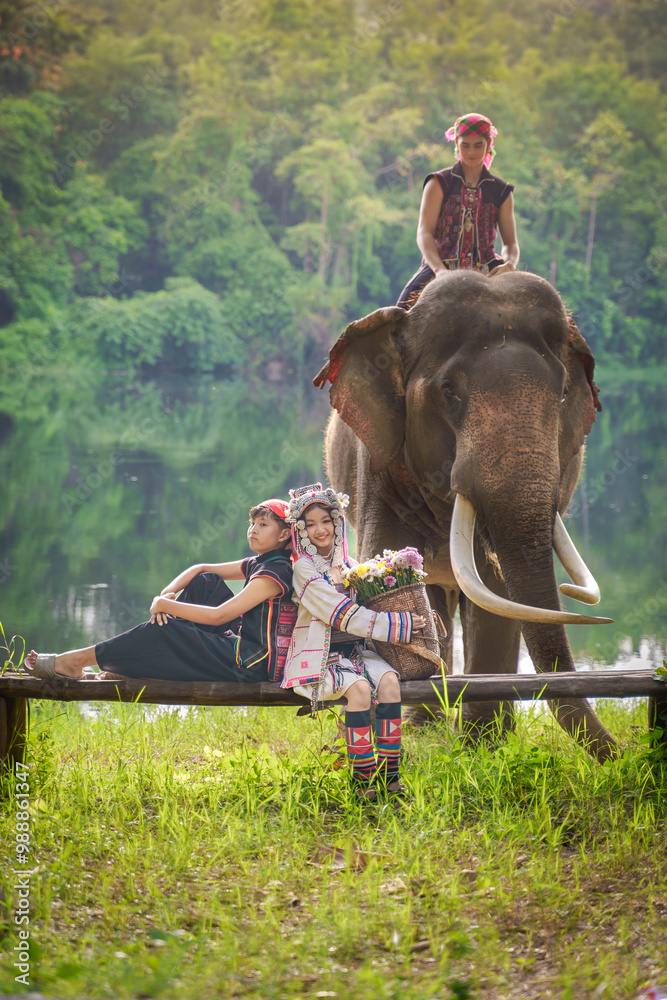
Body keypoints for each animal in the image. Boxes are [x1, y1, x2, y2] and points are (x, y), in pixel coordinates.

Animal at [313, 269, 618, 763]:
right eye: (448, 391)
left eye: (563, 394)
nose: (625, 755)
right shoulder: (378, 462)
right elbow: (385, 561)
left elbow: (499, 591)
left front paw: (483, 744)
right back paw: (424, 724)